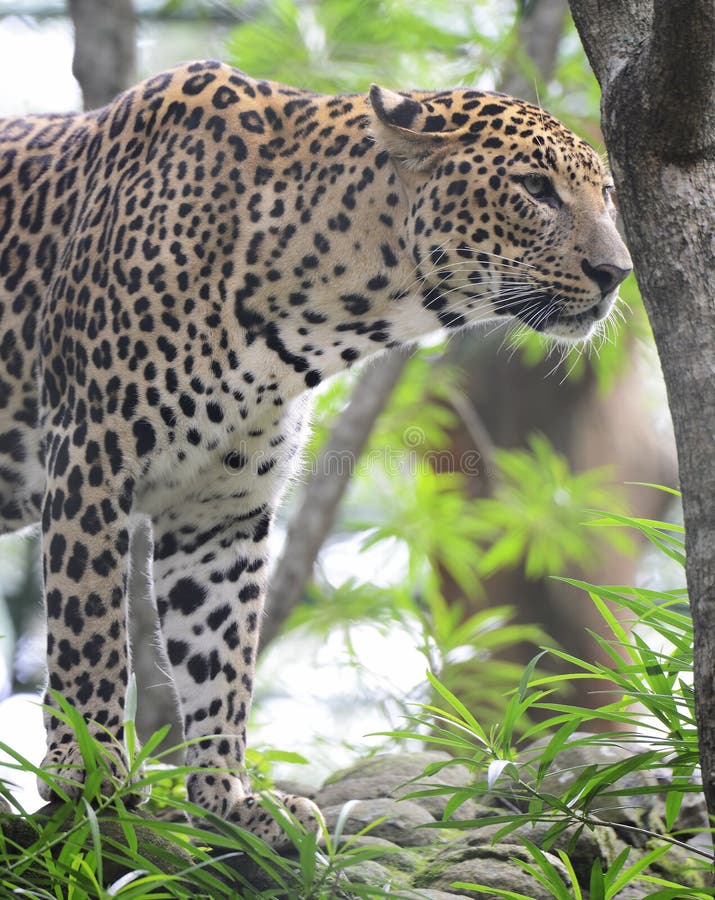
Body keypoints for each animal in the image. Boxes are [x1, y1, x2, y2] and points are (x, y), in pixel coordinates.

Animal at [0, 59, 631, 846]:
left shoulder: (221, 511)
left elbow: (218, 654)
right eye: (536, 190)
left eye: (608, 196)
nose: (617, 272)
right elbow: (90, 631)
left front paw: (229, 799)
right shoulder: (92, 452)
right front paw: (88, 775)